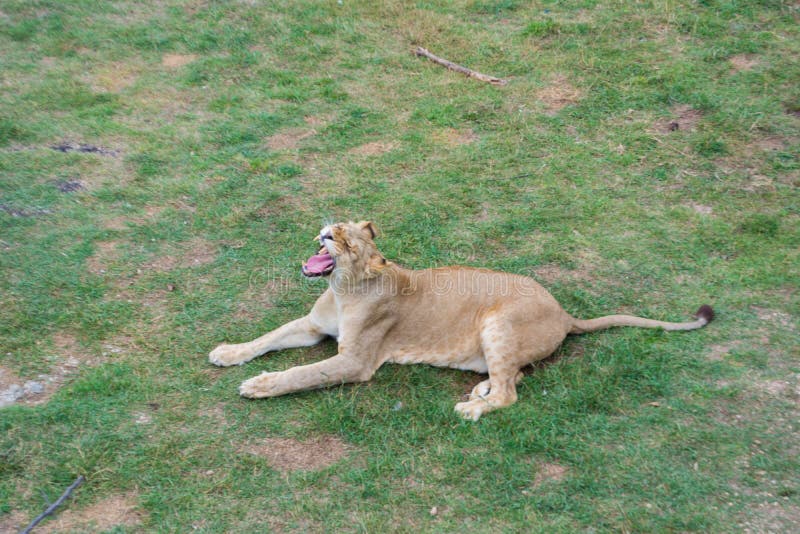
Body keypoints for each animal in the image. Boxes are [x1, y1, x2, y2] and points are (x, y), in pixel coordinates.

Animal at [210, 221, 714, 420]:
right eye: (339, 227)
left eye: (349, 242)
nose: (326, 232)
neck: (341, 290)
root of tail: (566, 313)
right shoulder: (313, 326)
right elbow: (268, 337)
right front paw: (227, 352)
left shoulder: (356, 361)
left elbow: (302, 372)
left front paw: (258, 385)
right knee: (516, 376)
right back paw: (480, 389)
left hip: (499, 323)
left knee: (512, 391)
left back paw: (472, 407)